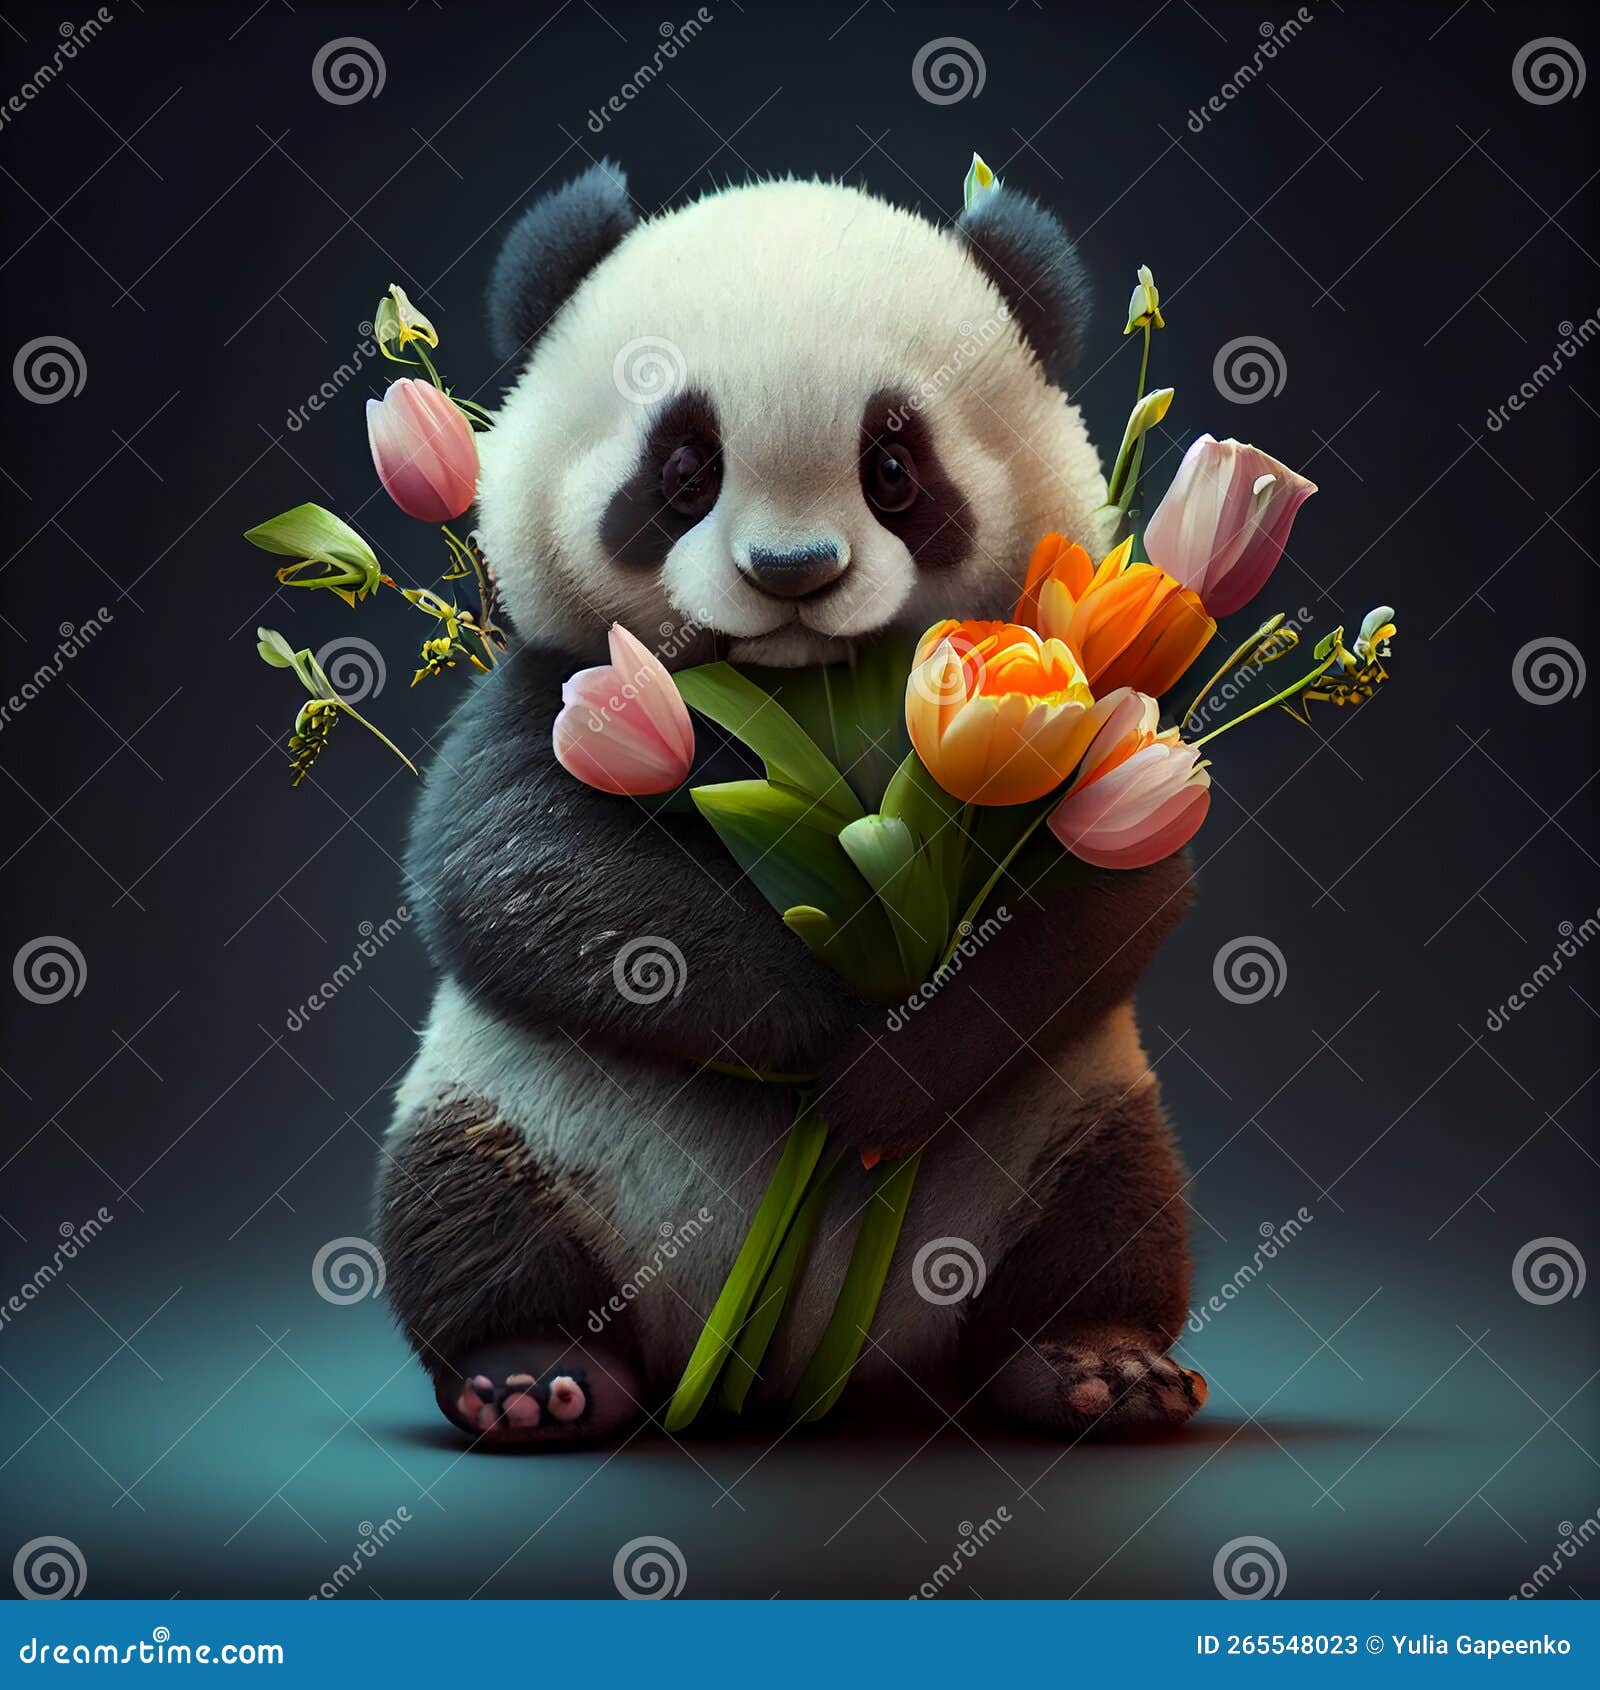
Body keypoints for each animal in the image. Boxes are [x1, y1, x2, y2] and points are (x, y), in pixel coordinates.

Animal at [380, 164, 1208, 1446]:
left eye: (894, 468)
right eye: (683, 471)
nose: (792, 571)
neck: (807, 689)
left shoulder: (1078, 731)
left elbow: (1101, 901)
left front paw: (887, 1071)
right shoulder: (552, 691)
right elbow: (513, 870)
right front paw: (803, 1021)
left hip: (1072, 1113)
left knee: (1111, 1212)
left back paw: (1094, 1360)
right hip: (513, 1105)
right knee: (461, 1208)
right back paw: (533, 1374)